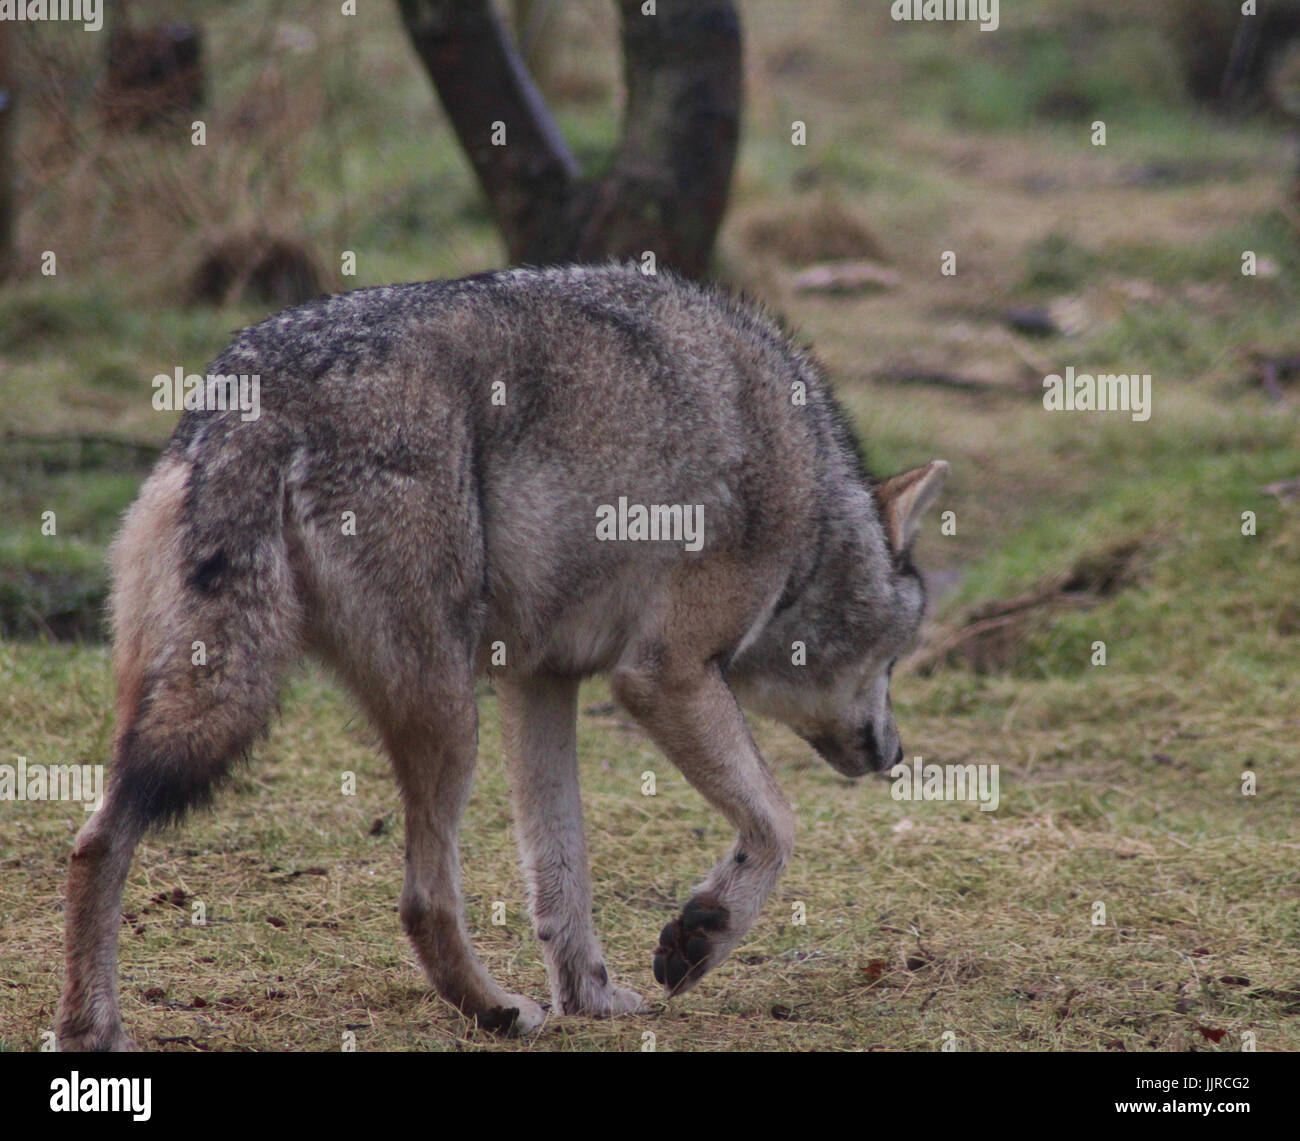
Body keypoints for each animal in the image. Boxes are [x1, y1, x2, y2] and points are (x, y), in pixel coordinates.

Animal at [56, 264, 947, 1049]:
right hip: (446, 718)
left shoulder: (540, 681)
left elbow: (563, 873)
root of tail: (259, 398)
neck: (813, 510)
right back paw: (496, 1011)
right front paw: (701, 934)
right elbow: (778, 821)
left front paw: (592, 996)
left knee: (94, 839)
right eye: (897, 655)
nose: (896, 752)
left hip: (198, 695)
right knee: (421, 898)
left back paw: (88, 1027)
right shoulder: (662, 674)